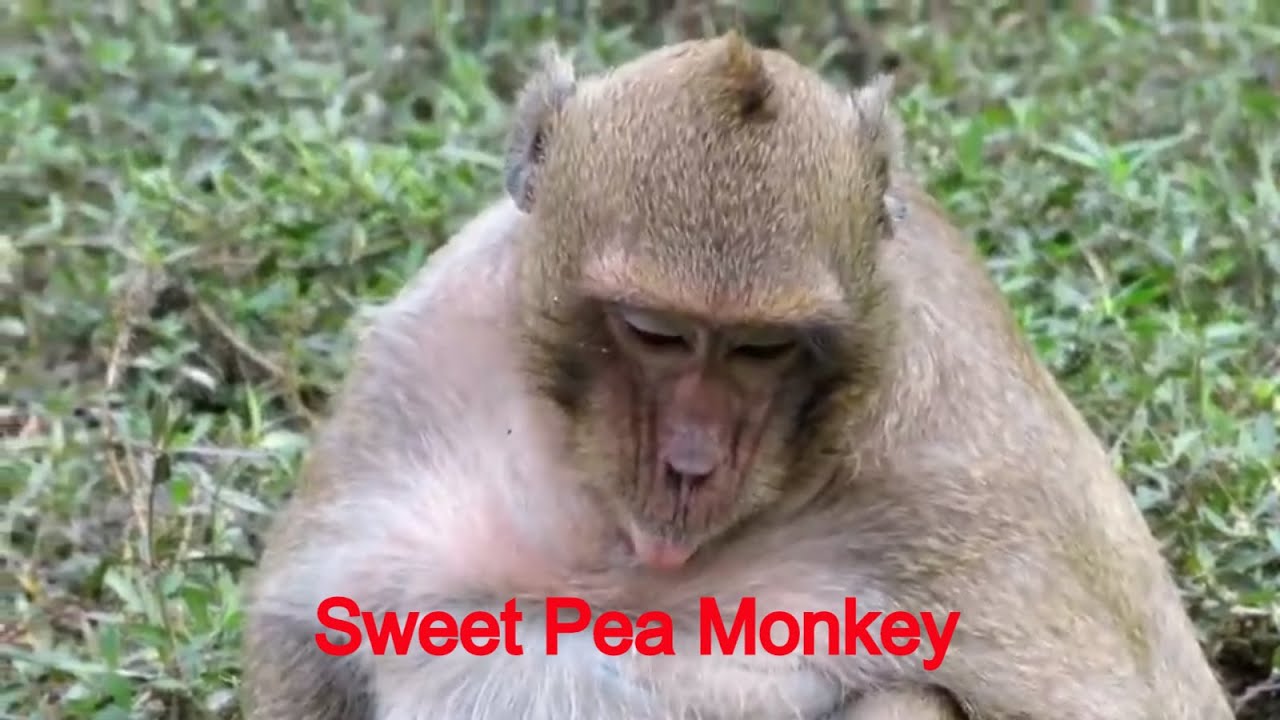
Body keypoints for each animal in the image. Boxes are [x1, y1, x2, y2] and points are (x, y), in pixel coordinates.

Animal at [240, 33, 1235, 720]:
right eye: (656, 333)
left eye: (763, 348)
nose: (691, 463)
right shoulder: (421, 358)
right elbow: (310, 636)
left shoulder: (969, 472)